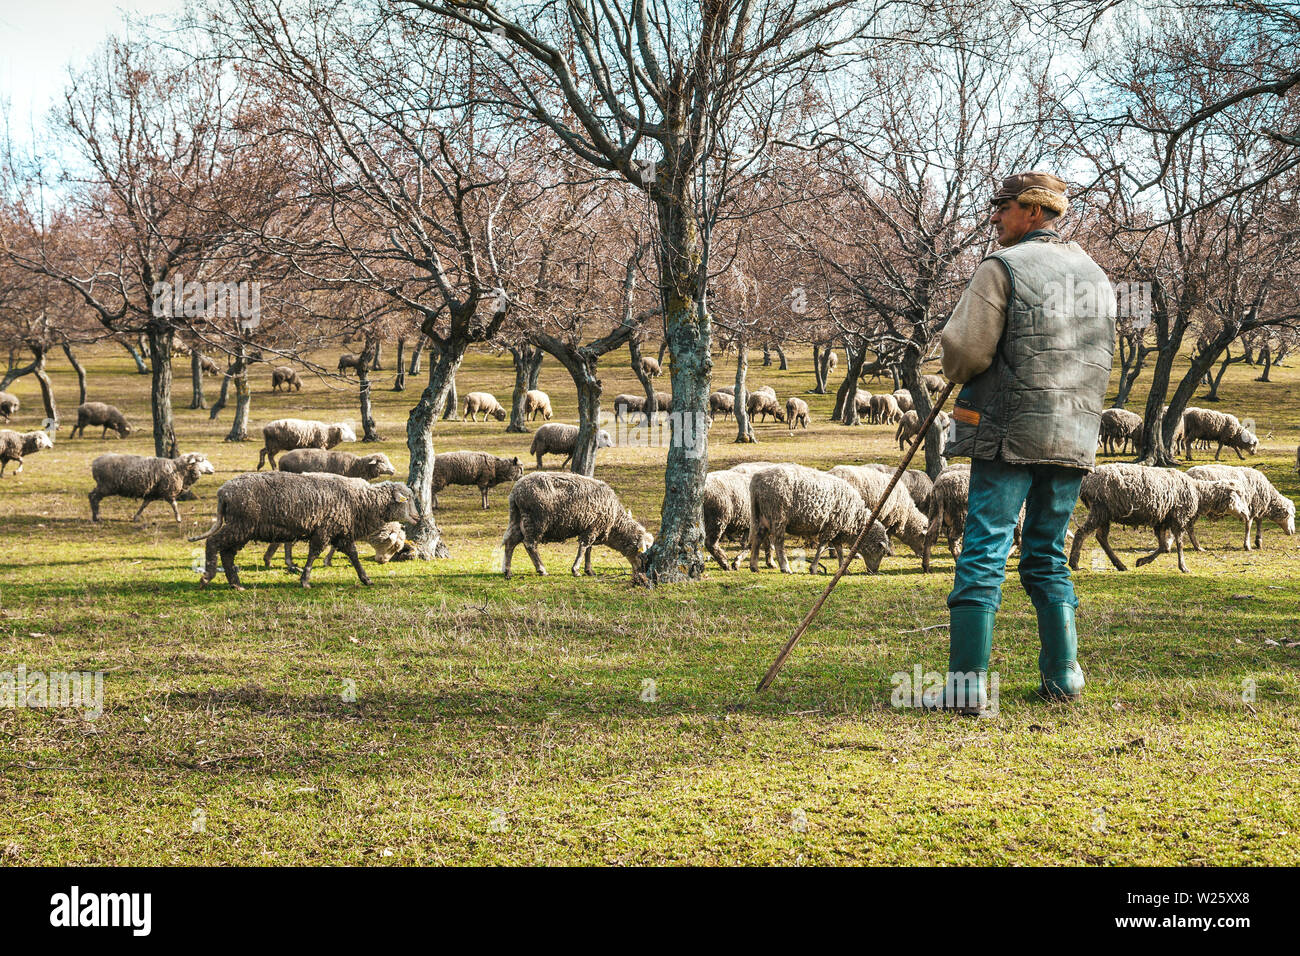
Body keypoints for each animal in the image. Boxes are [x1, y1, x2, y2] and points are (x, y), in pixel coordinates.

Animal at [191, 471, 419, 589]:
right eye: (406, 499)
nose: (418, 517)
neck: (360, 501)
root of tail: (223, 492)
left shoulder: (340, 532)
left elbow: (353, 555)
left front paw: (365, 579)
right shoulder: (324, 530)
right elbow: (314, 554)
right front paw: (305, 580)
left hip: (240, 528)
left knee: (227, 552)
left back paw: (235, 583)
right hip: (241, 525)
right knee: (214, 543)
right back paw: (208, 577)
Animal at [501, 471, 653, 578]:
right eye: (643, 555)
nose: (642, 572)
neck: (615, 521)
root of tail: (515, 491)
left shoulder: (592, 528)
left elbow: (589, 550)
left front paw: (589, 570)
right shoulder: (593, 527)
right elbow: (584, 548)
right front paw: (576, 570)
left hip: (518, 518)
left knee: (510, 542)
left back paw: (507, 571)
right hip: (536, 521)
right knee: (530, 544)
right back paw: (541, 569)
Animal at [747, 463, 893, 574]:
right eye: (880, 551)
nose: (873, 571)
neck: (854, 517)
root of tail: (756, 481)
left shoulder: (837, 529)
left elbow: (839, 549)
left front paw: (843, 569)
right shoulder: (832, 527)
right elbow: (822, 547)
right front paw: (814, 568)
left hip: (761, 516)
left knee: (758, 537)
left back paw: (754, 566)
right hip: (778, 514)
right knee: (778, 542)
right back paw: (785, 567)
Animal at [1067, 463, 1250, 573]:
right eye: (1239, 495)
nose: (1246, 513)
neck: (1198, 492)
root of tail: (1086, 483)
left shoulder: (1162, 521)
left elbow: (1163, 546)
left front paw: (1142, 561)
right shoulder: (1178, 517)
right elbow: (1179, 544)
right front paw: (1183, 567)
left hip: (1105, 513)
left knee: (1101, 537)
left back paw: (1120, 565)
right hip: (1100, 509)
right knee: (1082, 532)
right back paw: (1074, 564)